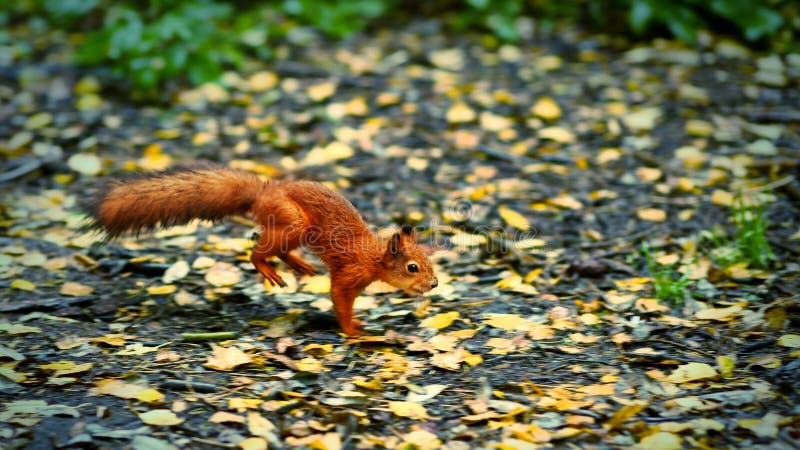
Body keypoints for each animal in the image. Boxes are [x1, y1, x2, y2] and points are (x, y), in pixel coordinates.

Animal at [86, 165, 438, 336]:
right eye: (412, 267)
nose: (434, 284)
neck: (373, 256)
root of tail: (264, 193)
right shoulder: (348, 274)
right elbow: (339, 299)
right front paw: (352, 329)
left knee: (279, 249)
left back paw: (298, 265)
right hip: (293, 222)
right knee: (257, 251)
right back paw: (267, 268)